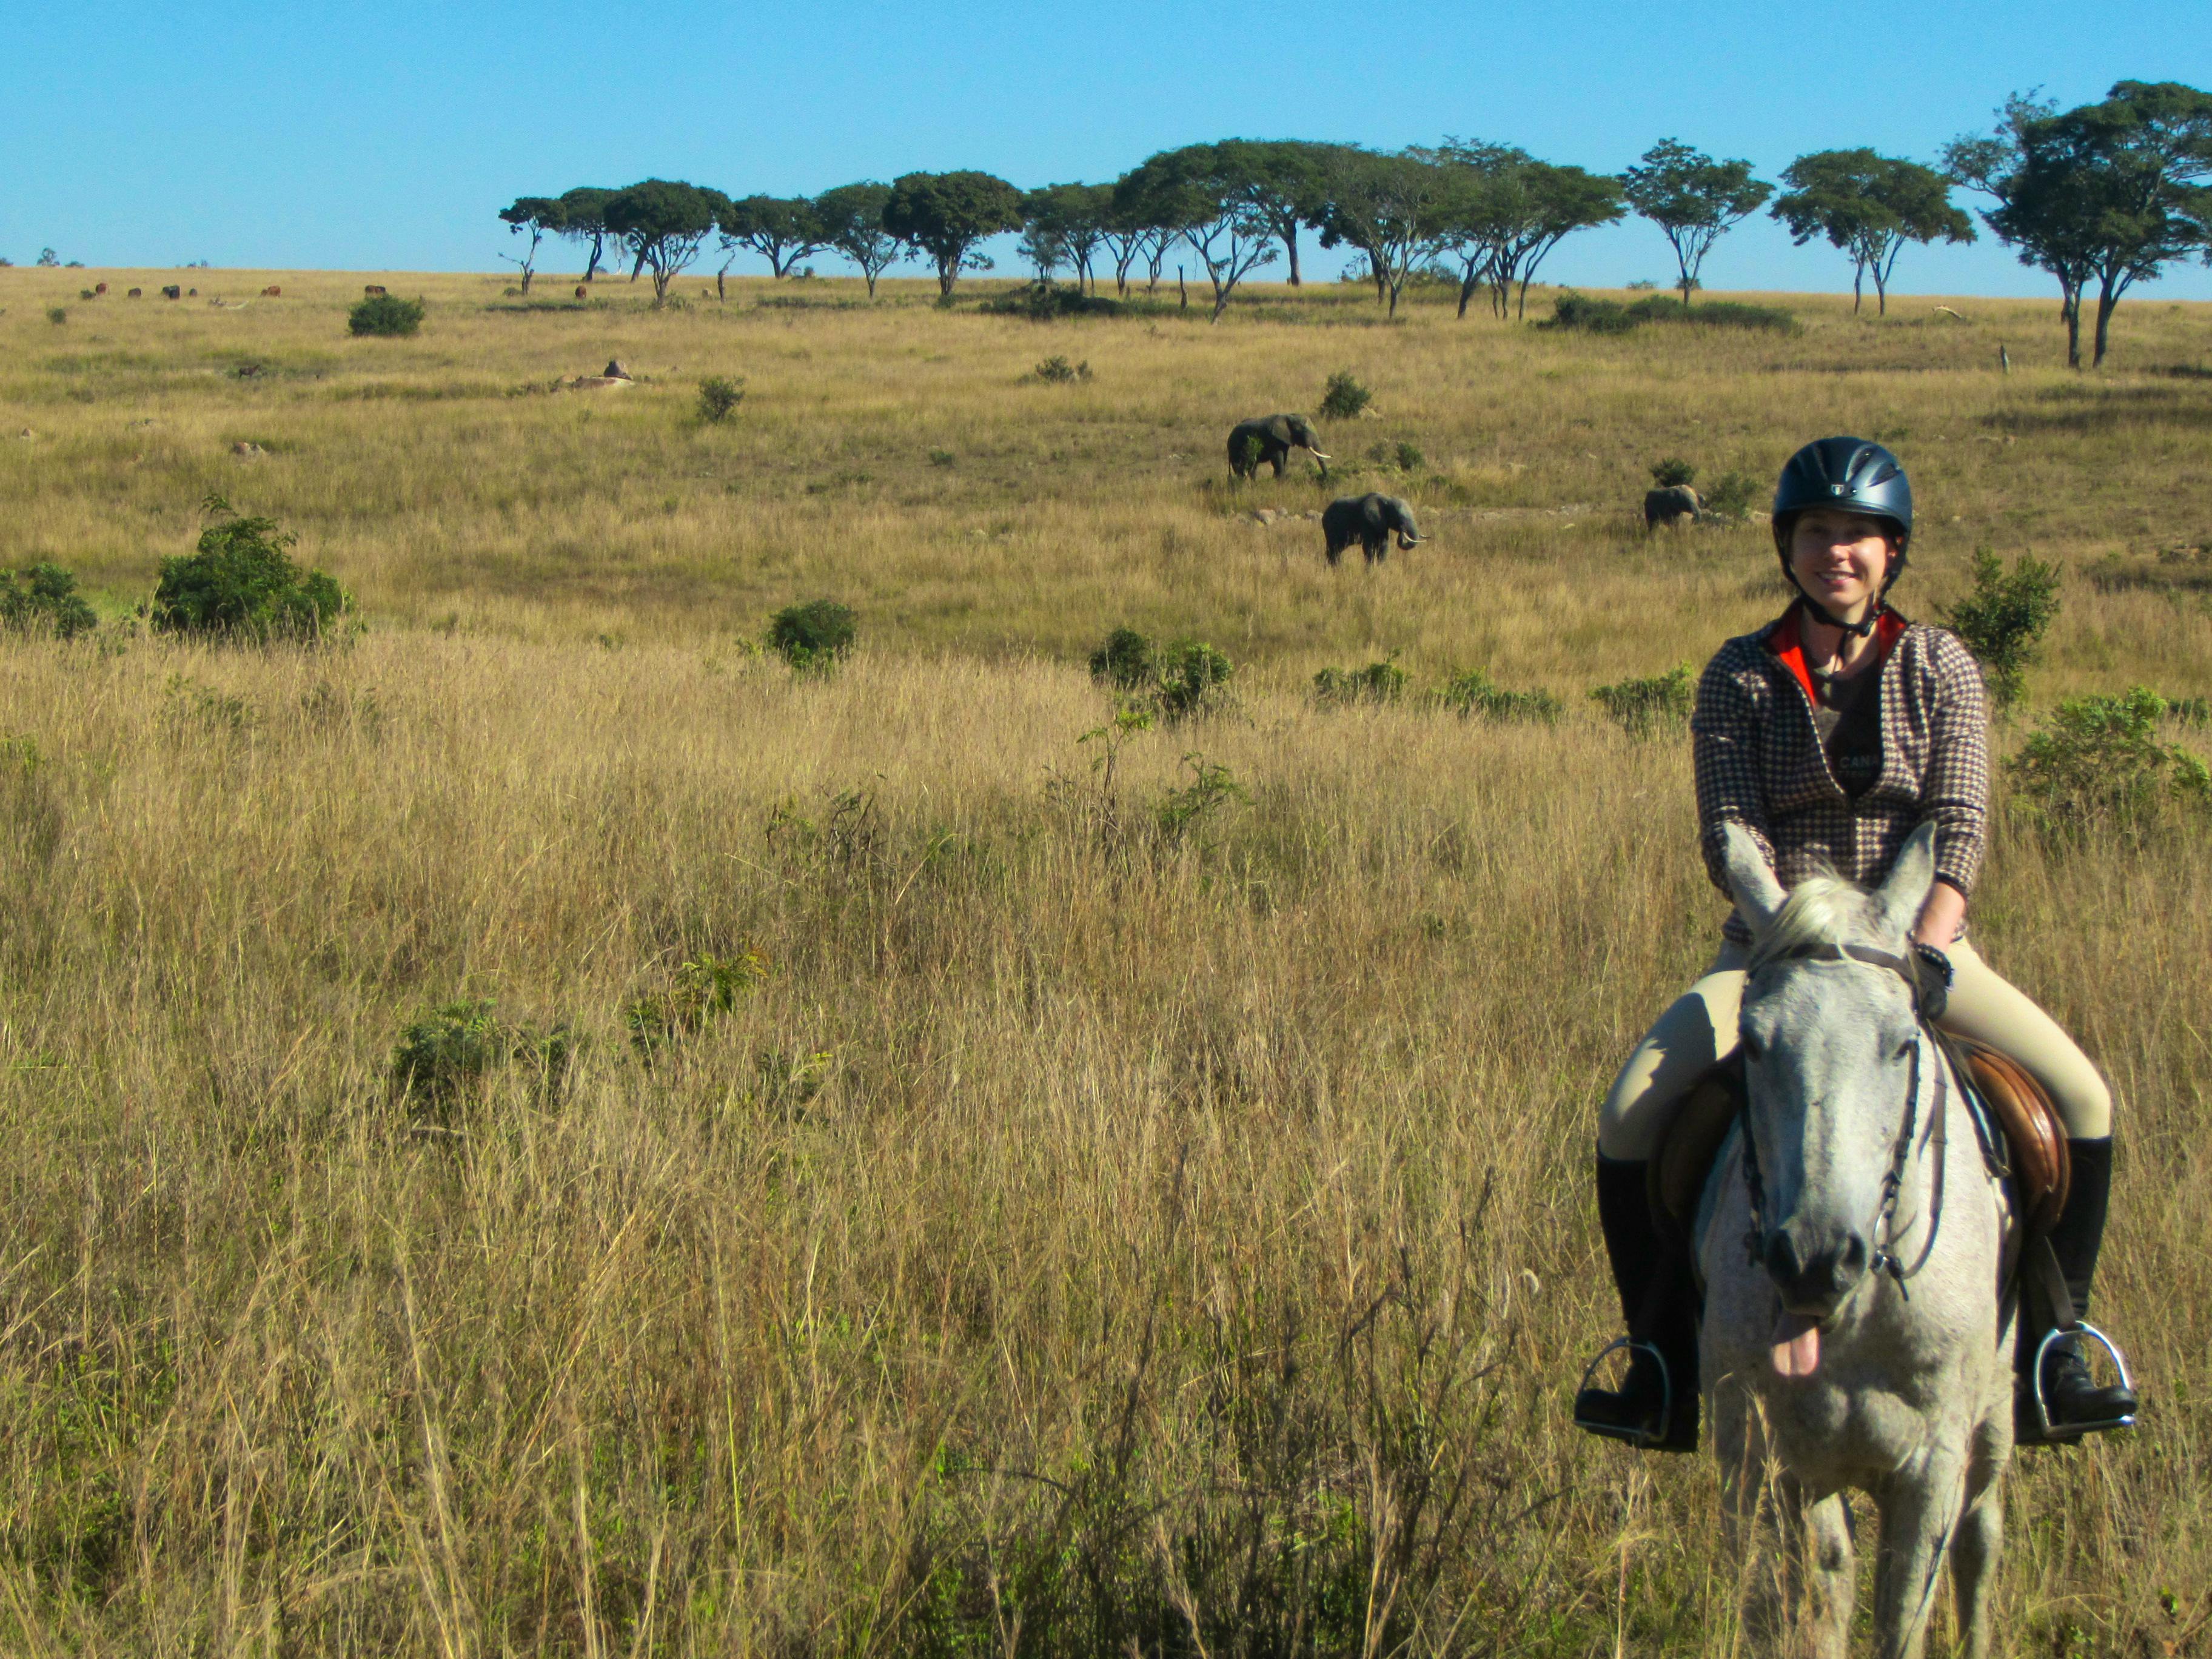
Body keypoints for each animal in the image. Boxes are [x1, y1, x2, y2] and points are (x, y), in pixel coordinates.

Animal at [1700, 821, 2015, 1659]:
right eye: (1752, 1044)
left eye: (1904, 1044)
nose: (1813, 1262)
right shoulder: (1761, 1464)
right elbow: (1792, 1609)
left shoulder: (1931, 1473)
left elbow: (1904, 1615)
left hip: (1996, 1417)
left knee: (1982, 1541)